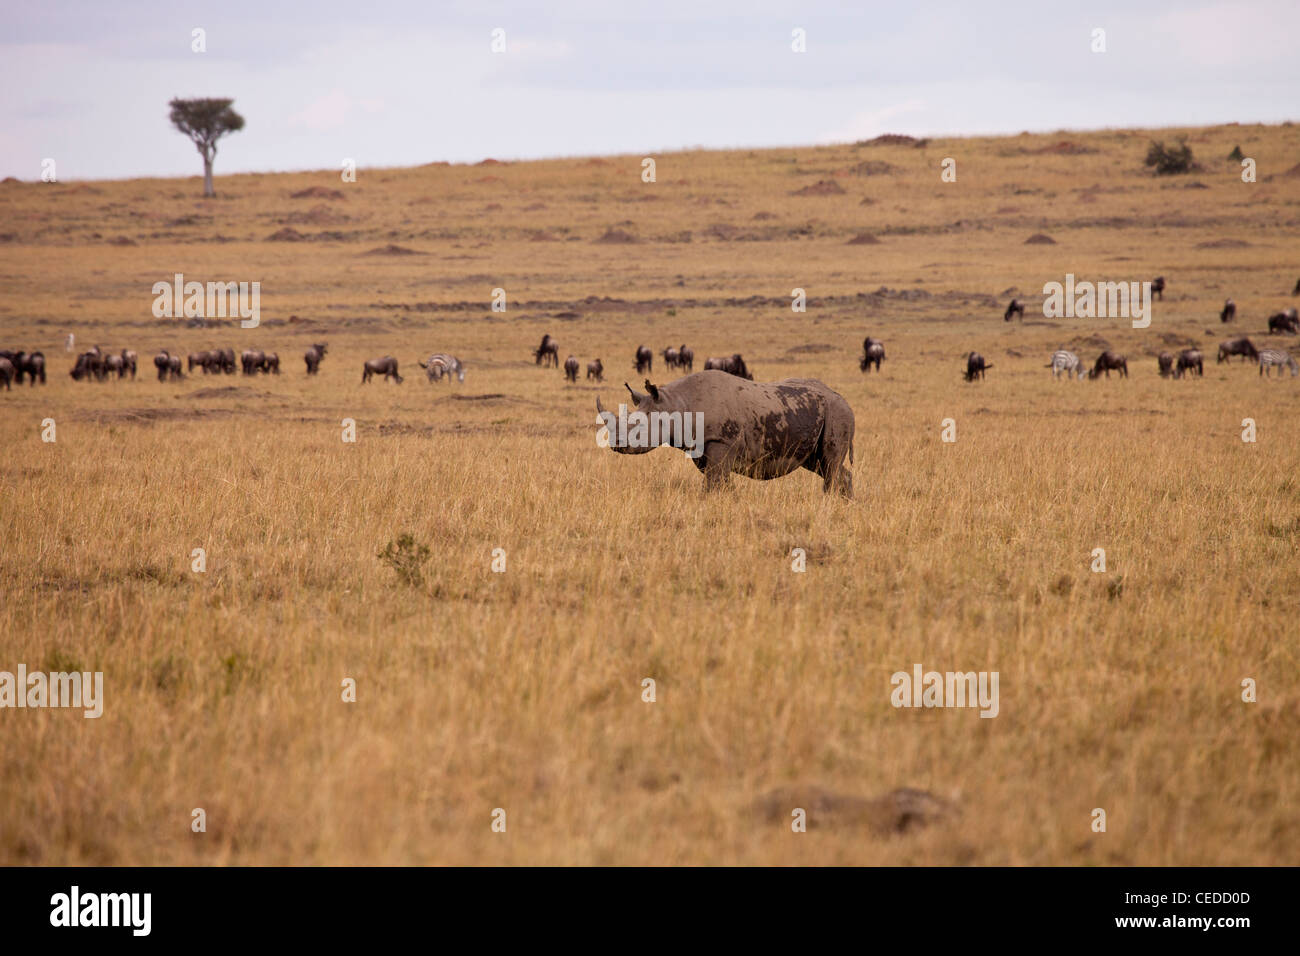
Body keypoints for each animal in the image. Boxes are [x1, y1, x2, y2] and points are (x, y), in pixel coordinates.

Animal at [596, 370, 855, 497]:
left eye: (638, 429)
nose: (616, 444)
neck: (676, 403)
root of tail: (843, 398)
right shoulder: (701, 447)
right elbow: (718, 480)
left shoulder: (721, 441)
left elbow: (714, 480)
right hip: (819, 412)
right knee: (821, 463)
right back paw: (843, 503)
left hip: (837, 412)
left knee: (829, 462)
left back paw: (828, 502)